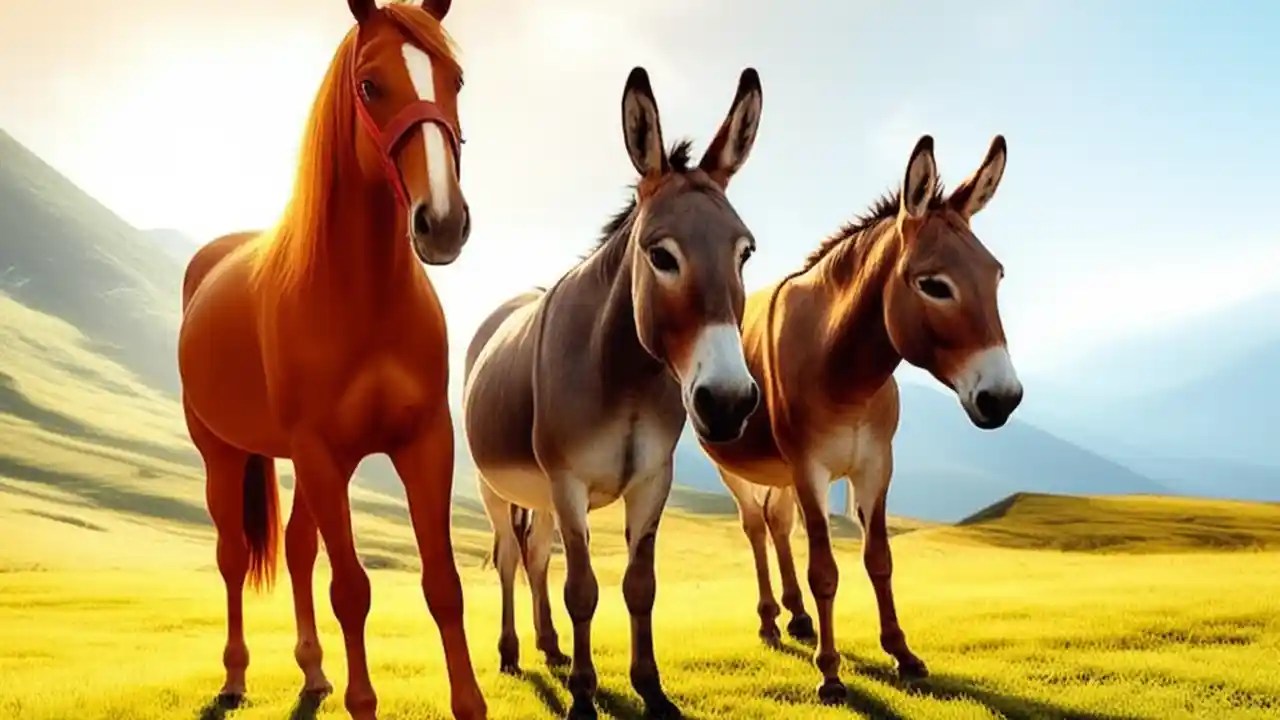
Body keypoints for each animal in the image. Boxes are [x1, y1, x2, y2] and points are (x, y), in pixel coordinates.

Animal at [177, 2, 484, 718]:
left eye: (455, 79)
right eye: (370, 86)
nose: (442, 222)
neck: (360, 296)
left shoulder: (424, 441)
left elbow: (443, 582)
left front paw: (469, 701)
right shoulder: (321, 452)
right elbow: (351, 590)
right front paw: (361, 699)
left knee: (295, 550)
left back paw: (314, 672)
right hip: (225, 455)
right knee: (233, 557)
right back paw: (235, 677)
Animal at [462, 66, 765, 719]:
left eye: (745, 252)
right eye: (661, 255)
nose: (729, 401)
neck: (624, 381)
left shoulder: (652, 482)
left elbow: (639, 586)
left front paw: (651, 689)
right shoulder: (569, 483)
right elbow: (583, 590)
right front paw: (583, 696)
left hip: (541, 498)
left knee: (535, 555)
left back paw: (549, 646)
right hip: (499, 489)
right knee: (509, 559)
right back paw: (511, 652)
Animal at [698, 134, 1023, 704]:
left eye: (997, 275)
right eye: (934, 285)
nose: (1002, 398)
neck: (844, 371)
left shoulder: (875, 465)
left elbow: (880, 559)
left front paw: (902, 653)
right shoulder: (810, 470)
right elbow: (825, 570)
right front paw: (830, 673)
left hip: (781, 473)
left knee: (778, 524)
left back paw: (797, 617)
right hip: (735, 466)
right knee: (756, 527)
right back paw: (770, 621)